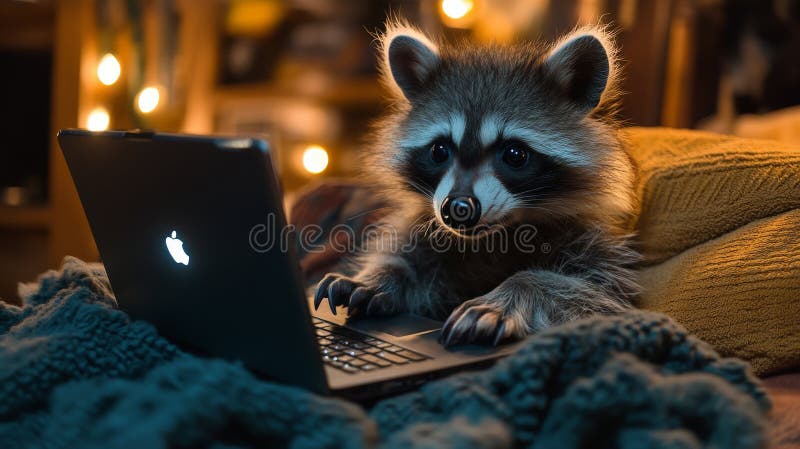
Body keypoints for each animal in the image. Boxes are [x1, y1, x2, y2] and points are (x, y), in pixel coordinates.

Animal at [314, 21, 640, 346]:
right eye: (439, 151)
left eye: (515, 155)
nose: (457, 207)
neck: (496, 236)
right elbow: (414, 267)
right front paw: (383, 274)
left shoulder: (595, 251)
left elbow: (595, 293)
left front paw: (520, 287)